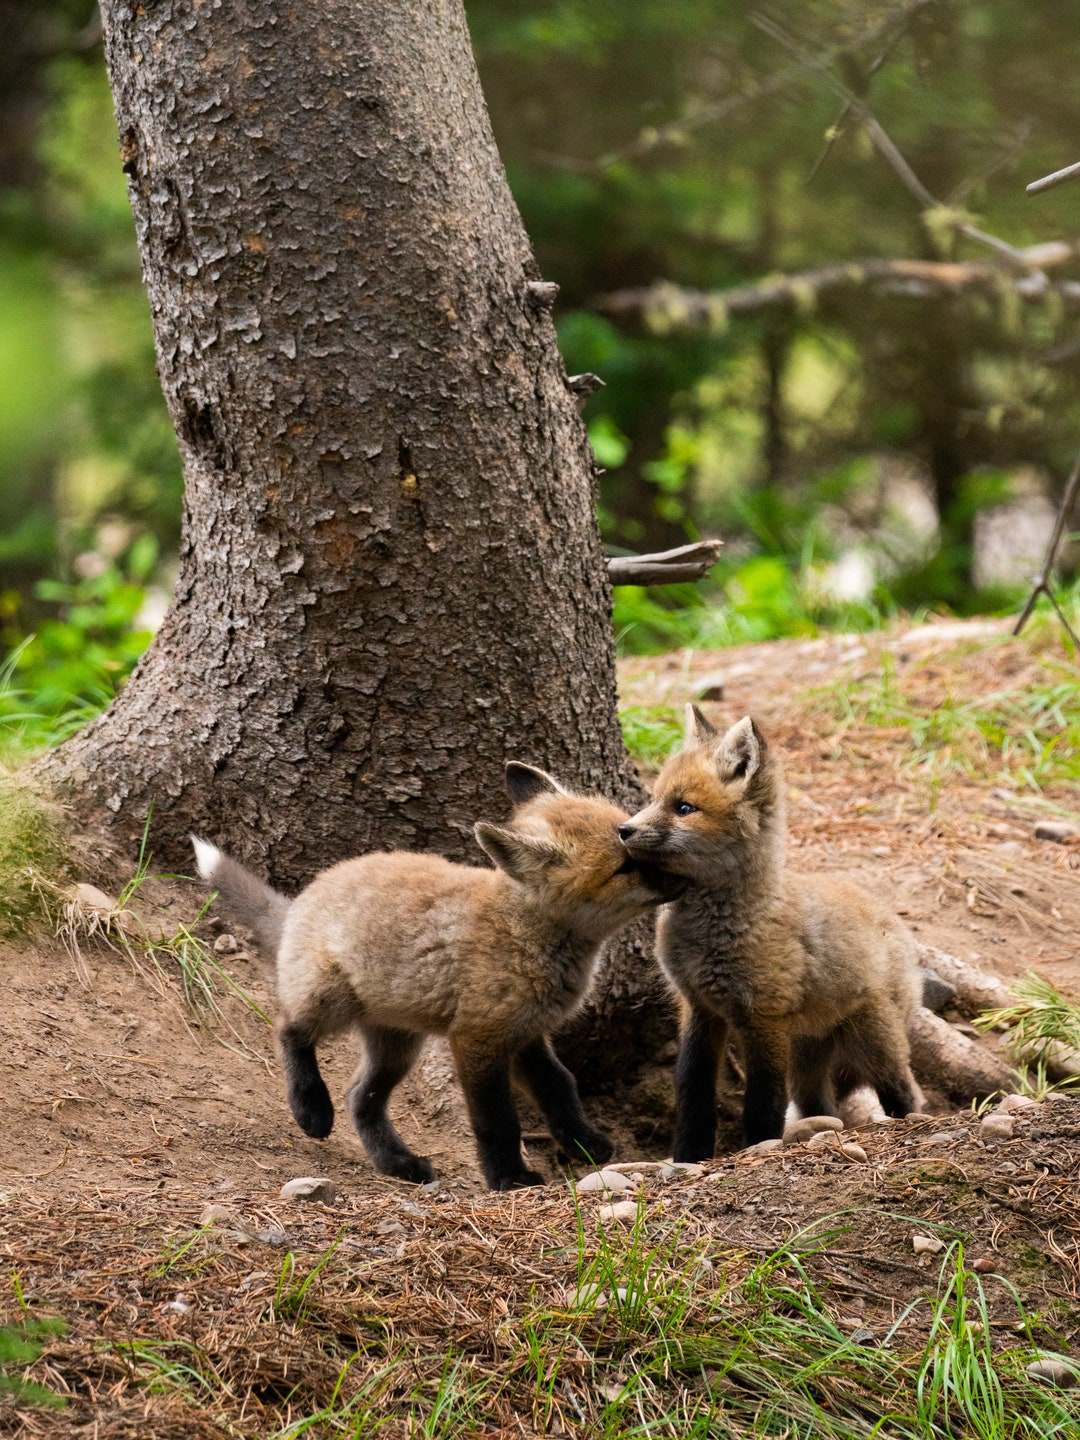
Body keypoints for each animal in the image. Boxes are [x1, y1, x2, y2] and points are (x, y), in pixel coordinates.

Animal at [192, 763, 684, 1191]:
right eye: (624, 866)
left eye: (629, 831)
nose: (683, 872)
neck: (525, 933)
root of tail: (304, 898)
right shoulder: (476, 1037)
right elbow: (498, 1120)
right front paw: (508, 1179)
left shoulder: (525, 1032)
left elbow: (560, 1085)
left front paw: (585, 1142)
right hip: (332, 1001)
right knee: (288, 1029)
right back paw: (311, 1107)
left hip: (397, 1046)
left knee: (360, 1098)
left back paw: (397, 1162)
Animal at [618, 709, 921, 1158]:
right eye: (653, 799)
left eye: (684, 807)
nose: (623, 830)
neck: (710, 935)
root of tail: (896, 924)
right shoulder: (700, 1008)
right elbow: (692, 1092)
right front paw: (689, 1155)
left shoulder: (764, 1017)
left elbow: (763, 1099)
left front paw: (758, 1145)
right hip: (808, 1057)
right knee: (818, 1104)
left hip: (874, 1042)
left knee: (906, 1090)